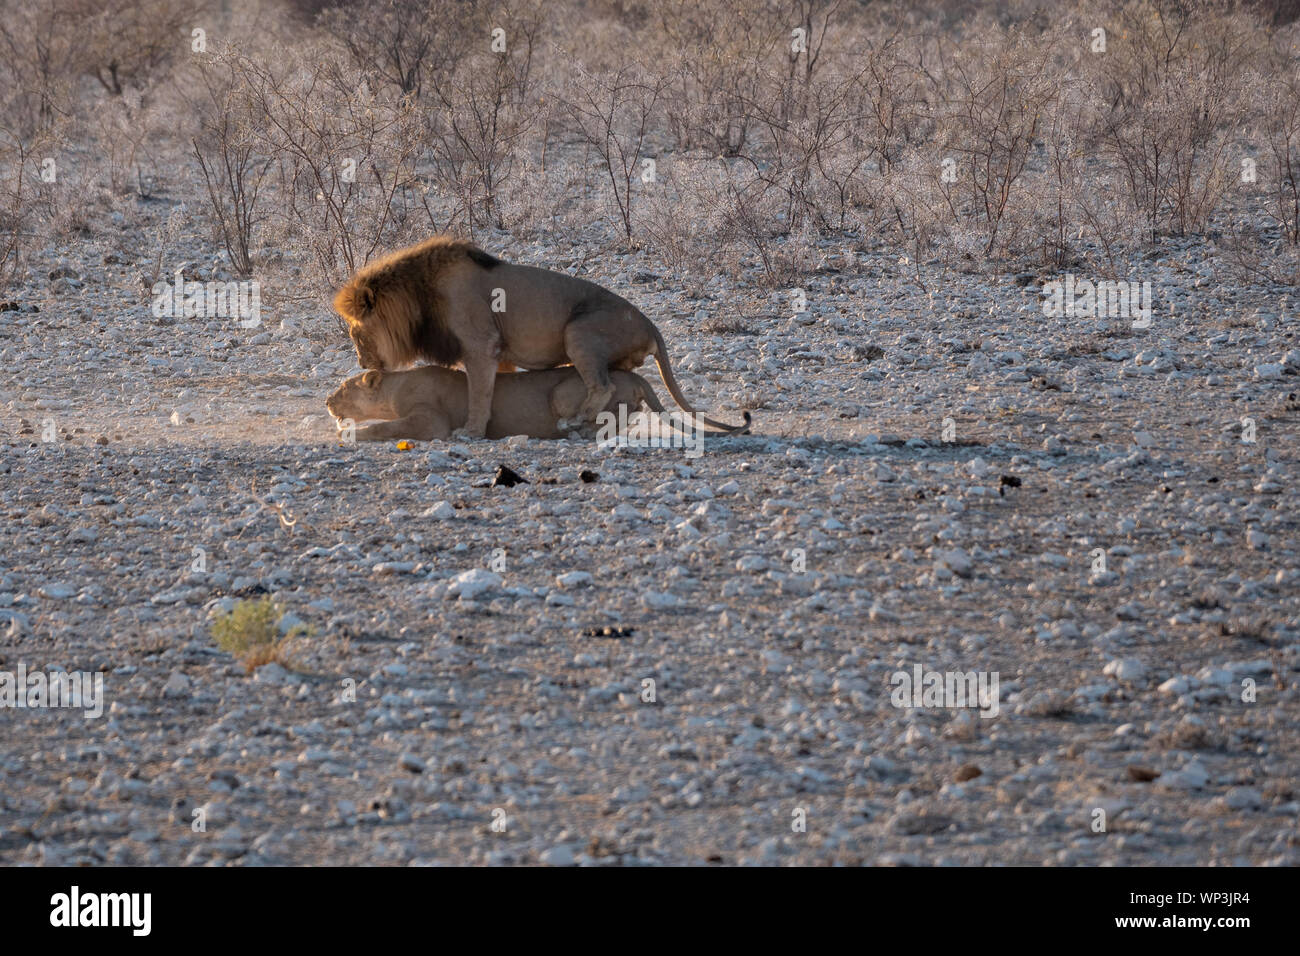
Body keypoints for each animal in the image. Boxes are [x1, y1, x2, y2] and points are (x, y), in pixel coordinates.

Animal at [333, 235, 749, 439]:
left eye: (357, 334)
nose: (361, 363)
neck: (420, 295)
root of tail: (652, 325)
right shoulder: (500, 352)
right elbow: (496, 388)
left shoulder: (480, 345)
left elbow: (478, 393)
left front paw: (471, 432)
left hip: (579, 332)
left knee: (601, 387)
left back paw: (574, 423)